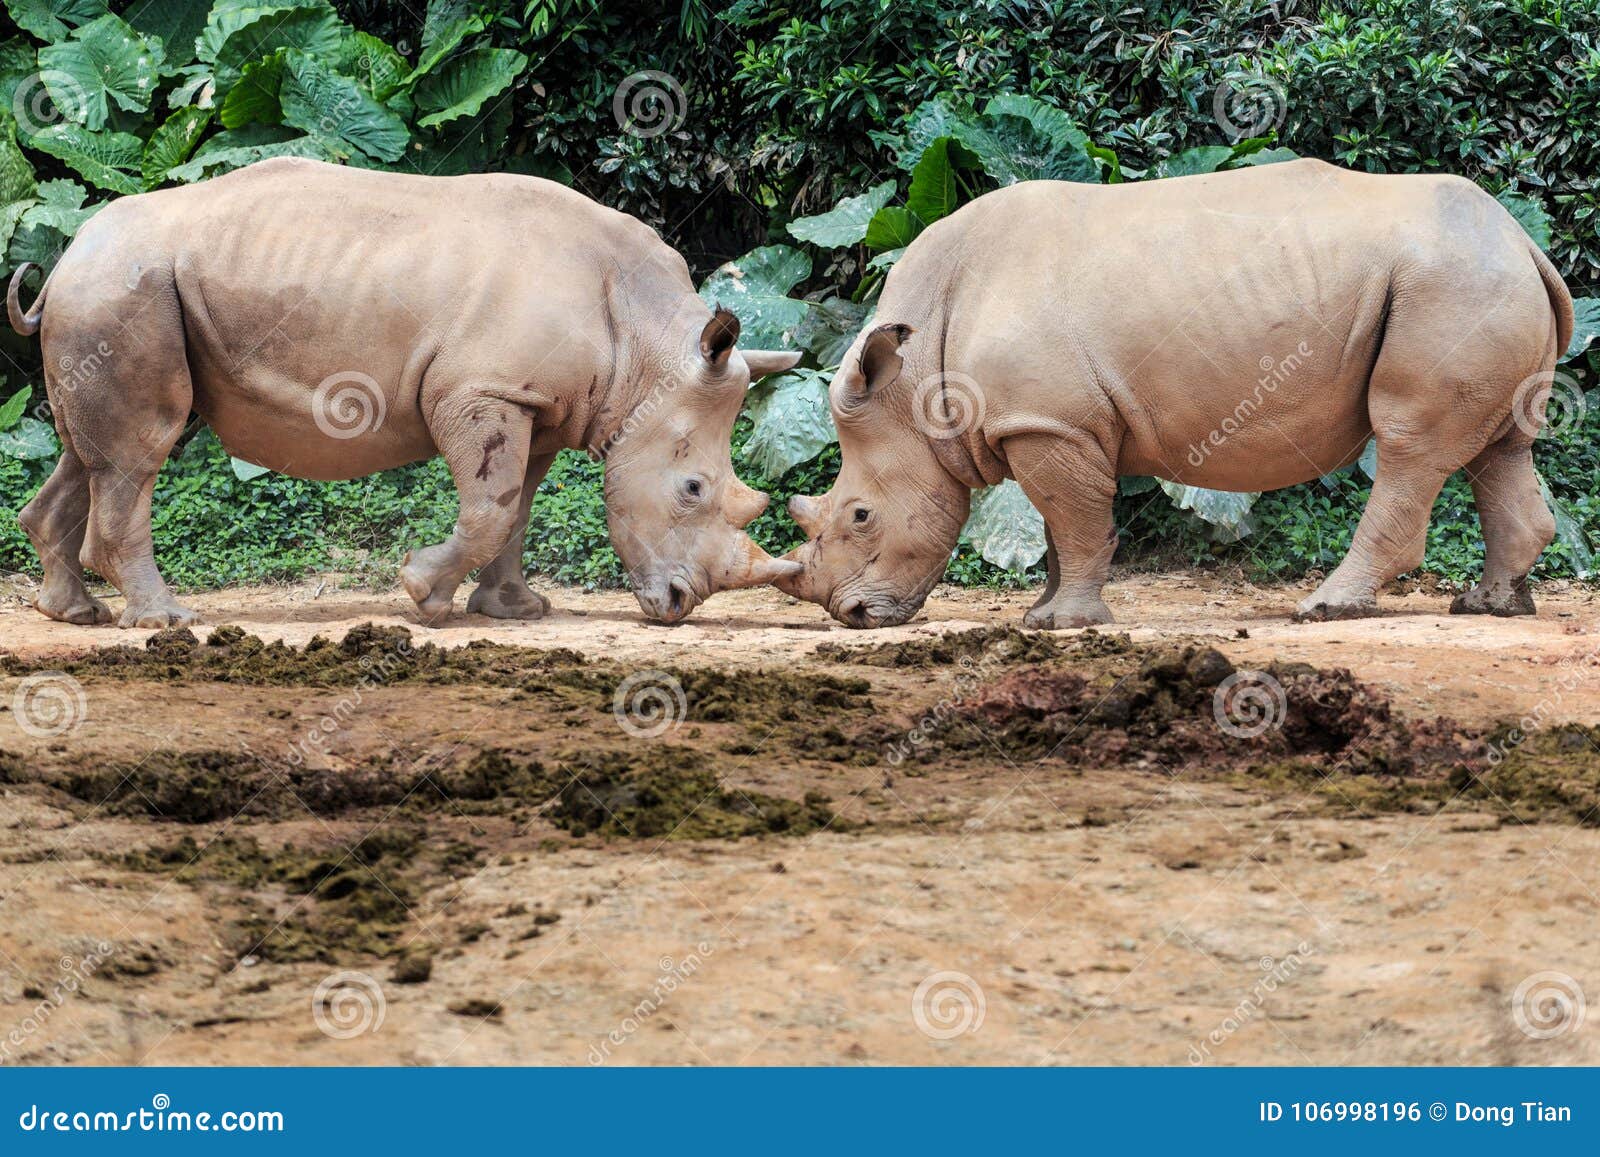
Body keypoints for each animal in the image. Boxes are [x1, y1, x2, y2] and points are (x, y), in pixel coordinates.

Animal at [10, 157, 800, 629]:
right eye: (693, 489)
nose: (678, 605)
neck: (648, 349)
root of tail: (67, 253)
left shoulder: (539, 404)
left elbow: (515, 507)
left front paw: (514, 610)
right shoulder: (480, 390)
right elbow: (490, 508)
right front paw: (423, 595)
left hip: (107, 290)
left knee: (90, 454)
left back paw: (73, 614)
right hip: (122, 287)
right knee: (142, 450)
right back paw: (165, 622)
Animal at [778, 159, 1572, 628]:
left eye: (859, 516)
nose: (850, 615)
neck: (913, 385)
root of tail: (1525, 243)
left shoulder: (1045, 422)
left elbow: (1073, 520)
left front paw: (1065, 624)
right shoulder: (1060, 423)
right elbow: (1061, 526)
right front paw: (1043, 616)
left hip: (1450, 284)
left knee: (1410, 445)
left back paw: (1323, 608)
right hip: (1476, 283)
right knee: (1499, 449)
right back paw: (1490, 606)